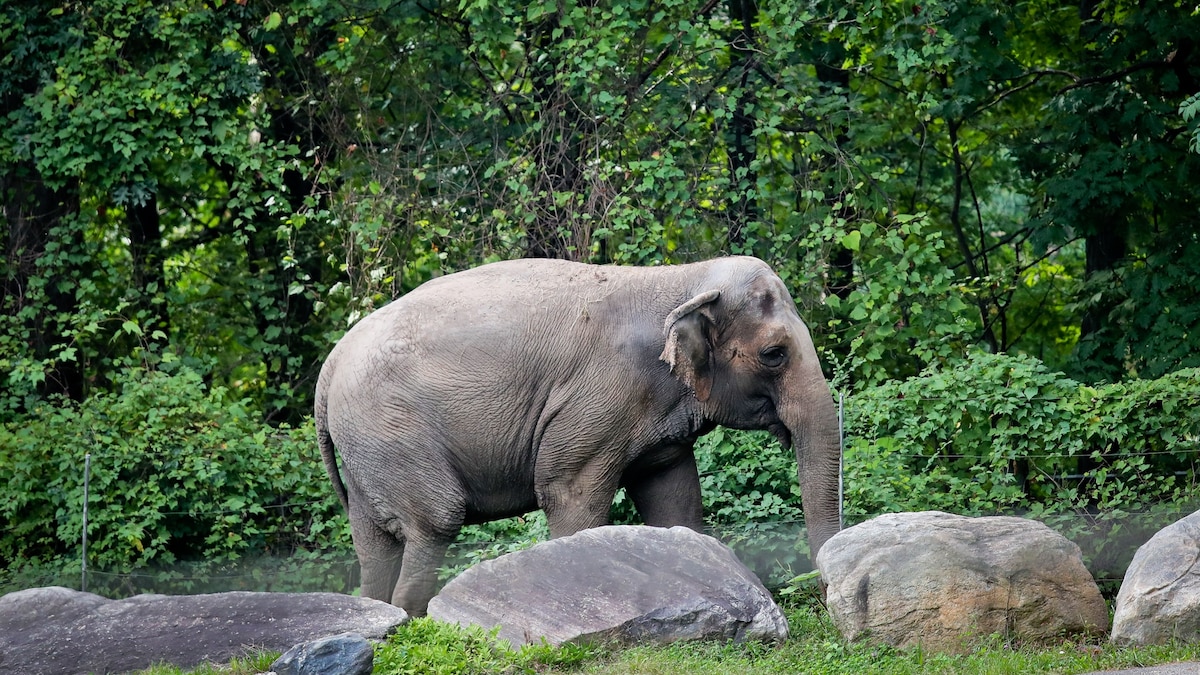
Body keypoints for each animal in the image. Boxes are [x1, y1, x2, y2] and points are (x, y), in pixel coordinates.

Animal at [315, 255, 841, 615]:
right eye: (774, 354)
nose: (822, 597)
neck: (680, 279)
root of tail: (331, 364)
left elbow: (675, 501)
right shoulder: (597, 400)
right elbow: (570, 495)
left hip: (366, 449)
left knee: (374, 543)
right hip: (392, 431)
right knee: (434, 522)